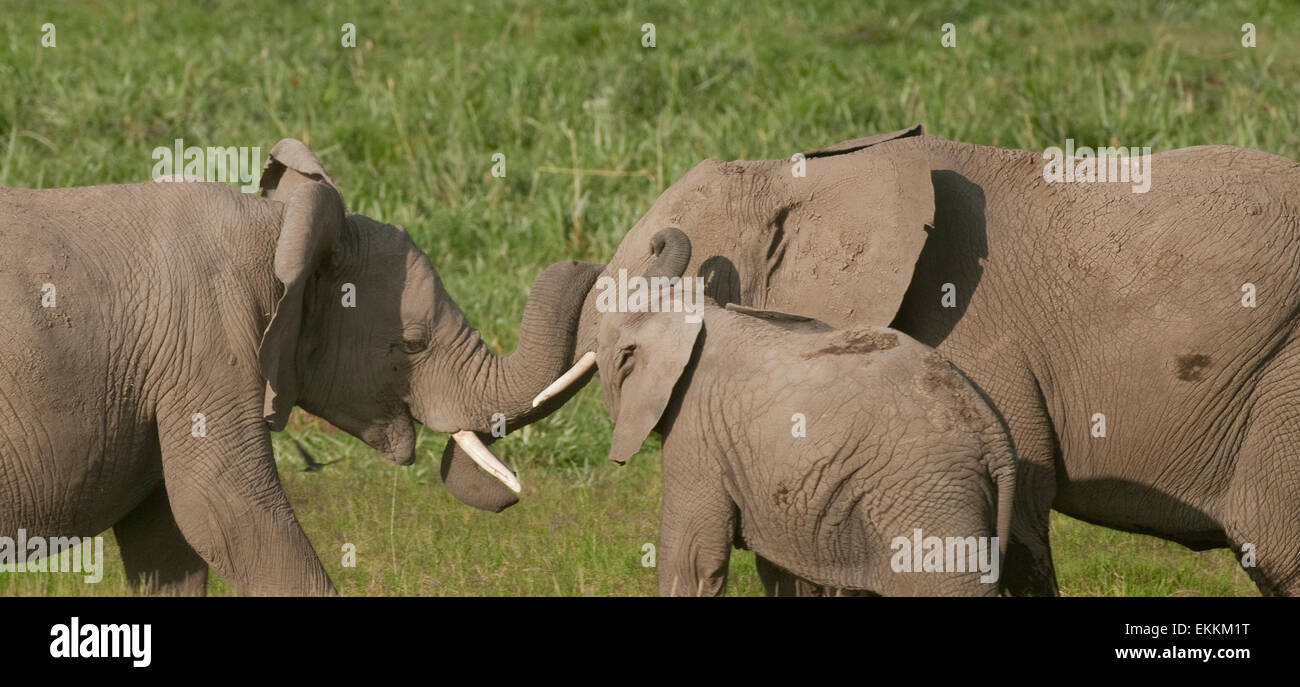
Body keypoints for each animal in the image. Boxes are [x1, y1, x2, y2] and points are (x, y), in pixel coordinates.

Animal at [0, 139, 601, 595]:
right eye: (412, 344)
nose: (591, 264)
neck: (279, 228)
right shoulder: (206, 344)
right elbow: (224, 511)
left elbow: (166, 536)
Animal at [595, 228, 1016, 596]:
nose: (655, 240)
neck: (690, 314)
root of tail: (995, 440)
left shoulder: (696, 430)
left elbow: (692, 555)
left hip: (928, 500)